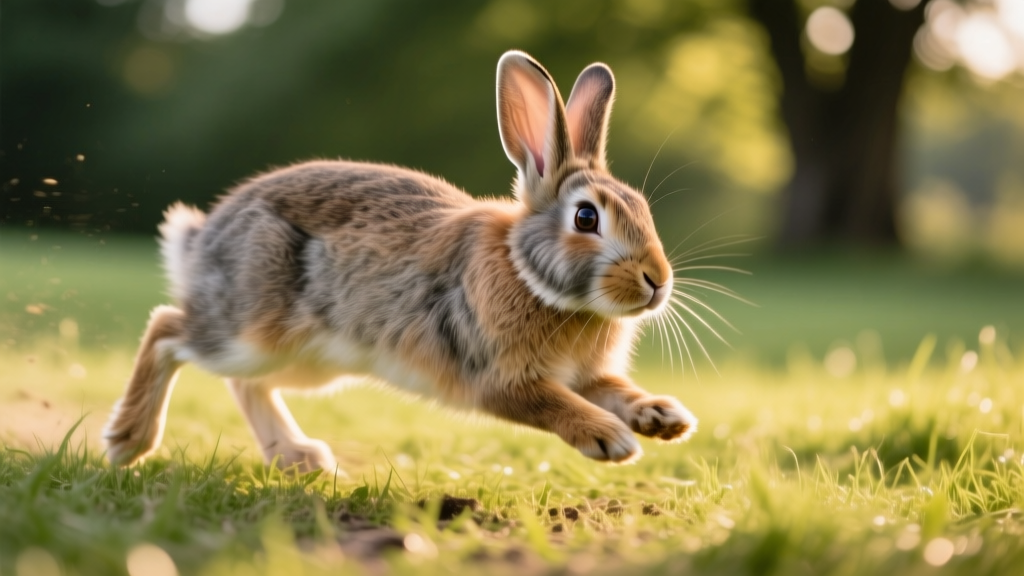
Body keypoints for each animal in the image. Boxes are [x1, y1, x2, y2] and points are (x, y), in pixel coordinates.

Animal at [103, 50, 697, 473]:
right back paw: (127, 441)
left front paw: (663, 417)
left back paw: (298, 458)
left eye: (642, 209)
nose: (658, 282)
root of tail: (202, 239)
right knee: (168, 329)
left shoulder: (585, 375)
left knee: (246, 383)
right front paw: (609, 437)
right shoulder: (499, 376)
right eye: (586, 218)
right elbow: (549, 403)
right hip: (249, 330)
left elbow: (614, 390)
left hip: (305, 361)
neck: (530, 276)